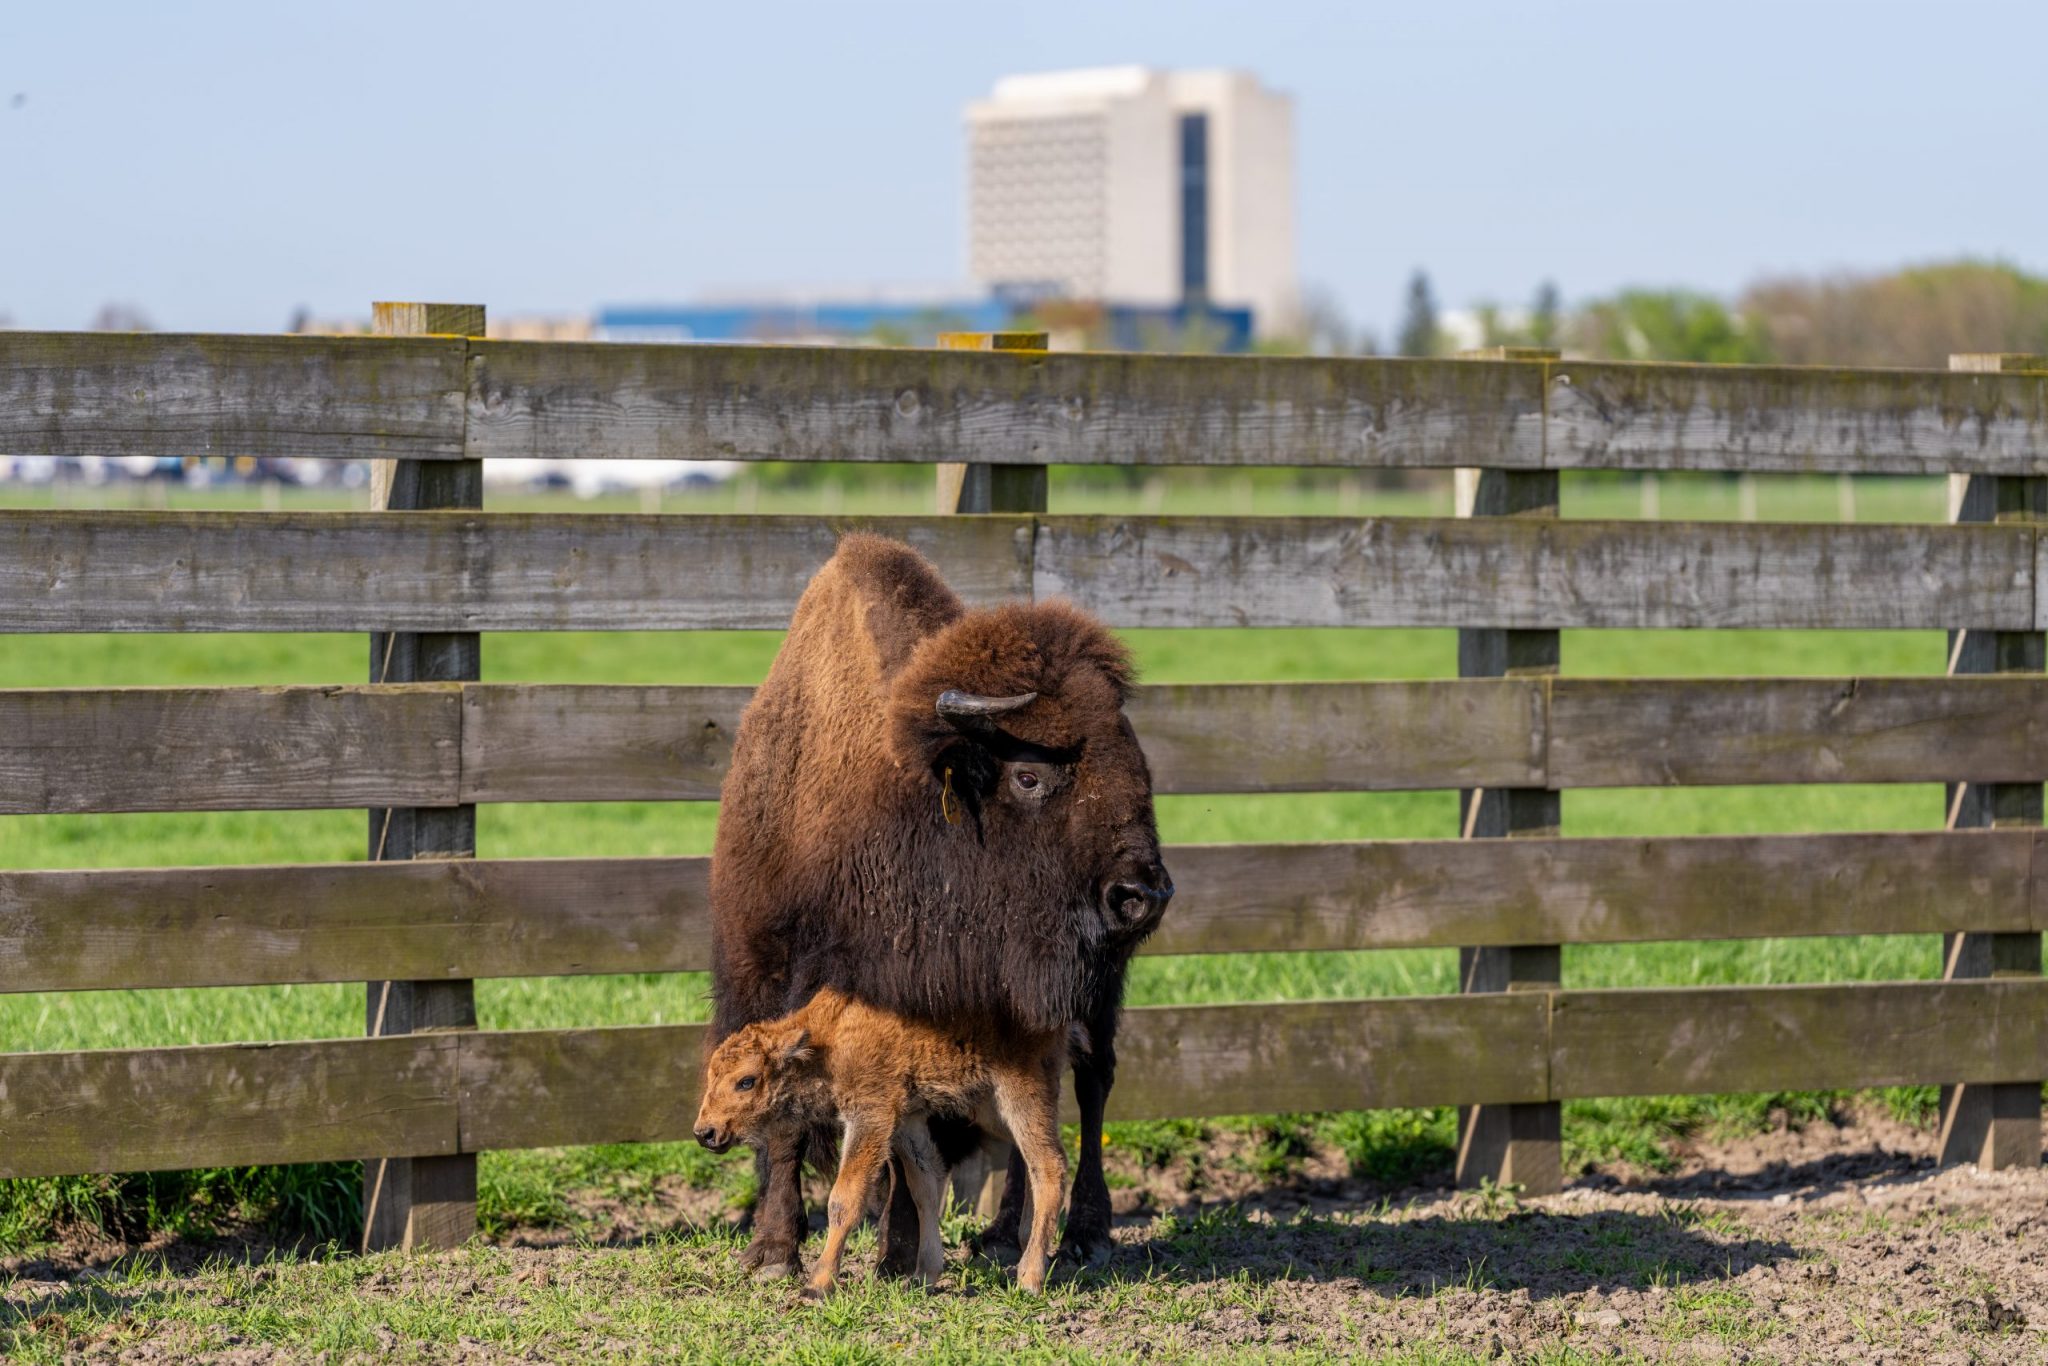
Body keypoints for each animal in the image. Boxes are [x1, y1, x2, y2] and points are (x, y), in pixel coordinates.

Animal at [694, 986, 1069, 1298]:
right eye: (711, 1075)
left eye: (746, 1081)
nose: (705, 1132)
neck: (826, 1041)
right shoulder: (907, 1120)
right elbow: (924, 1189)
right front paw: (923, 1276)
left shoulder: (870, 1116)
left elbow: (844, 1198)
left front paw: (817, 1286)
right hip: (992, 1110)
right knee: (1037, 1159)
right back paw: (1028, 1248)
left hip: (1018, 1092)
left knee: (1050, 1166)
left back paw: (1029, 1279)